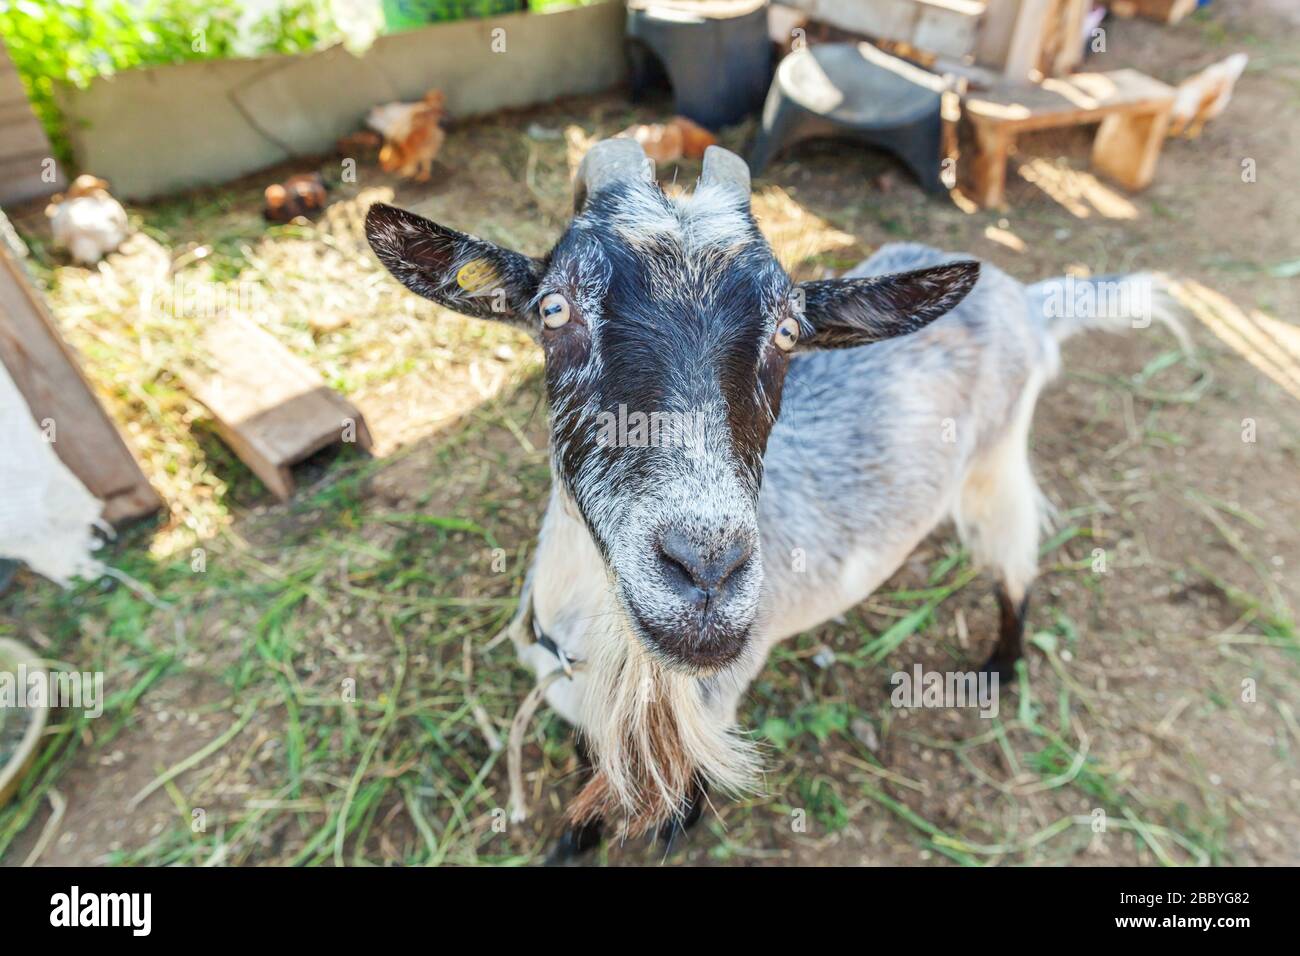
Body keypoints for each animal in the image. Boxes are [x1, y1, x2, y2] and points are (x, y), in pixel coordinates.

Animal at [365, 138, 1181, 857]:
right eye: (554, 310)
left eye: (788, 331)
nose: (707, 574)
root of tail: (1028, 300)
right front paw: (575, 839)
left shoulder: (718, 699)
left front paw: (670, 828)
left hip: (996, 464)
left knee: (1016, 560)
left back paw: (1000, 668)